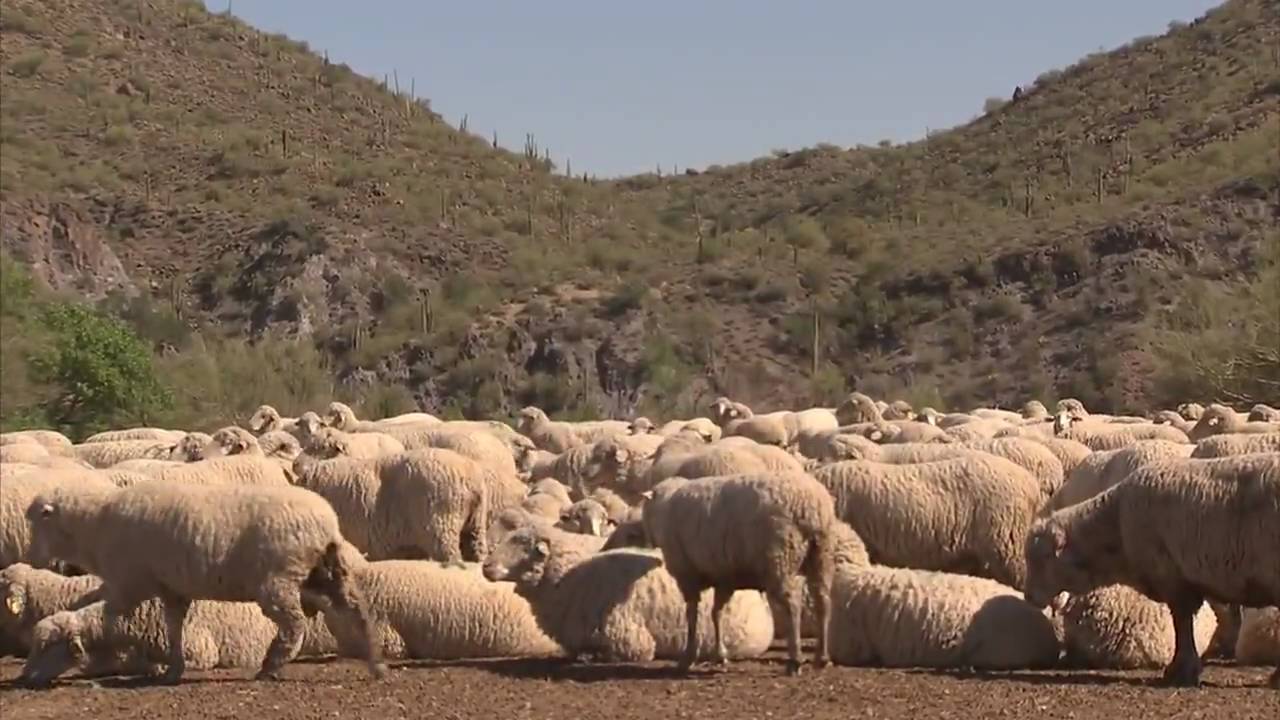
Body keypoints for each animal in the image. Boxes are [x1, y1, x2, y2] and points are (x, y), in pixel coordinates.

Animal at [21, 481, 385, 684]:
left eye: (46, 646)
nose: (24, 678)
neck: (95, 525)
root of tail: (328, 523)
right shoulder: (171, 590)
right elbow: (173, 627)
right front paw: (173, 669)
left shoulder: (130, 585)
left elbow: (102, 614)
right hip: (324, 574)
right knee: (357, 612)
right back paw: (377, 664)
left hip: (278, 580)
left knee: (294, 625)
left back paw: (270, 666)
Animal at [641, 471, 836, 674]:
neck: (664, 507)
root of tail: (811, 508)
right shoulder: (724, 579)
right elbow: (717, 613)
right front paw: (720, 655)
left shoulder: (687, 575)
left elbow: (692, 615)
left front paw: (689, 657)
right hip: (822, 557)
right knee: (823, 602)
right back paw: (822, 658)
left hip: (780, 560)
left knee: (793, 606)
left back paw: (795, 660)